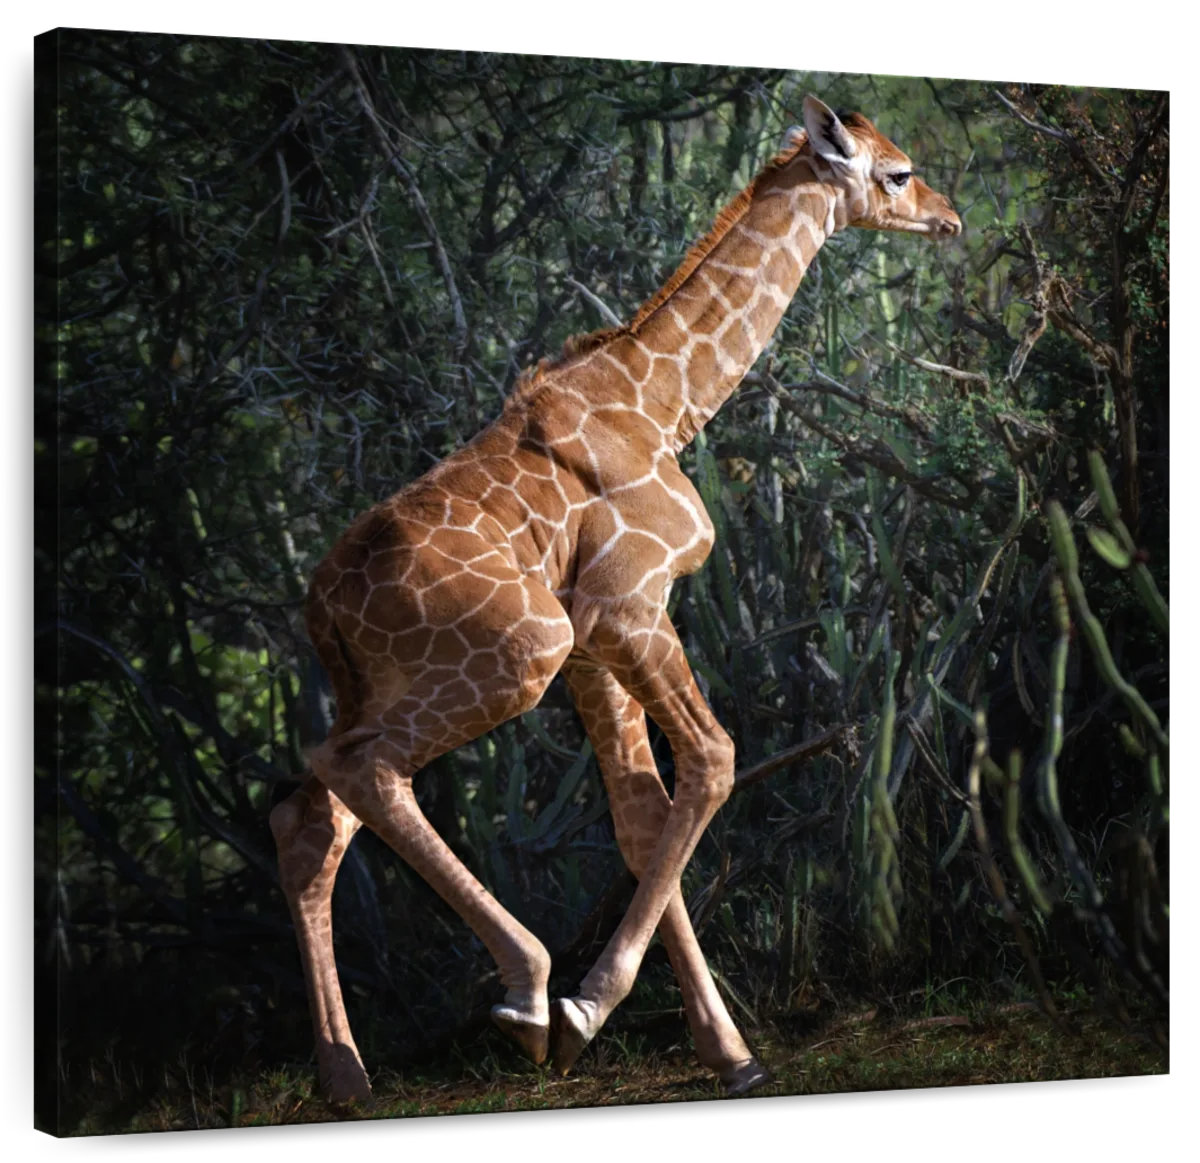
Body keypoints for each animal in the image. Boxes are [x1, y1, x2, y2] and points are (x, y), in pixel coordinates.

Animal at [270, 95, 961, 1105]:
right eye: (899, 172)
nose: (952, 218)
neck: (665, 403)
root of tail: (323, 611)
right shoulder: (626, 608)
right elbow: (712, 763)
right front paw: (585, 1009)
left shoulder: (599, 646)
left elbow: (641, 819)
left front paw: (731, 1053)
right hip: (518, 652)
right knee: (358, 770)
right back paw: (524, 992)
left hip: (404, 682)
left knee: (309, 813)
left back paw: (346, 1072)